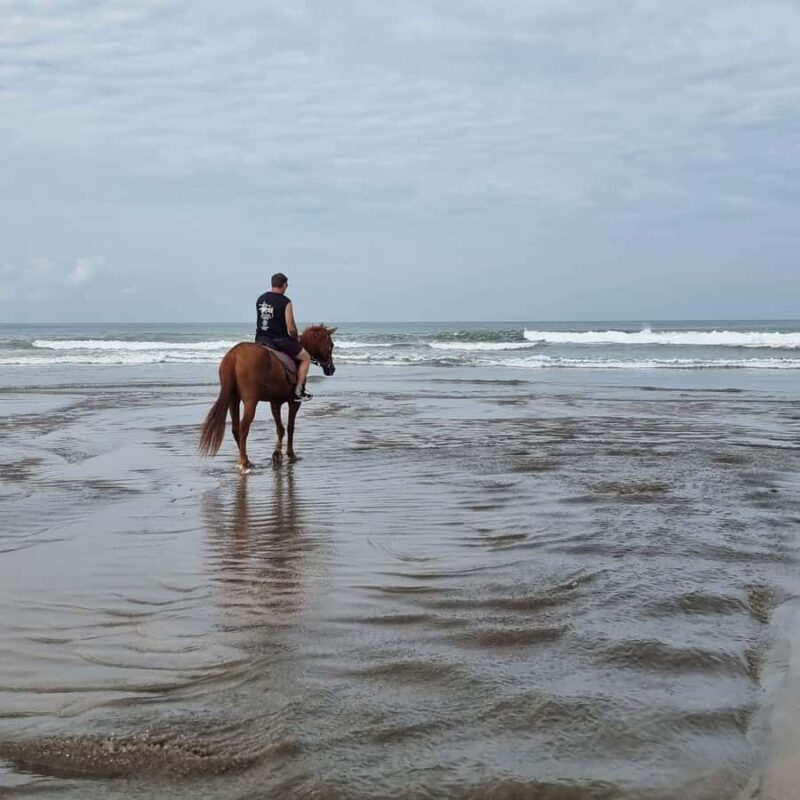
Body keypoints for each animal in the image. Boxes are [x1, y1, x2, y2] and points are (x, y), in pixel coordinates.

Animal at [199, 325, 337, 472]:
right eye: (331, 345)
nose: (332, 369)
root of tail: (234, 356)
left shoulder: (275, 402)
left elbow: (280, 429)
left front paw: (277, 454)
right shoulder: (293, 402)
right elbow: (290, 427)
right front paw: (290, 454)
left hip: (233, 400)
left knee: (236, 429)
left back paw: (245, 459)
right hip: (251, 401)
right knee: (243, 428)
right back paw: (244, 462)